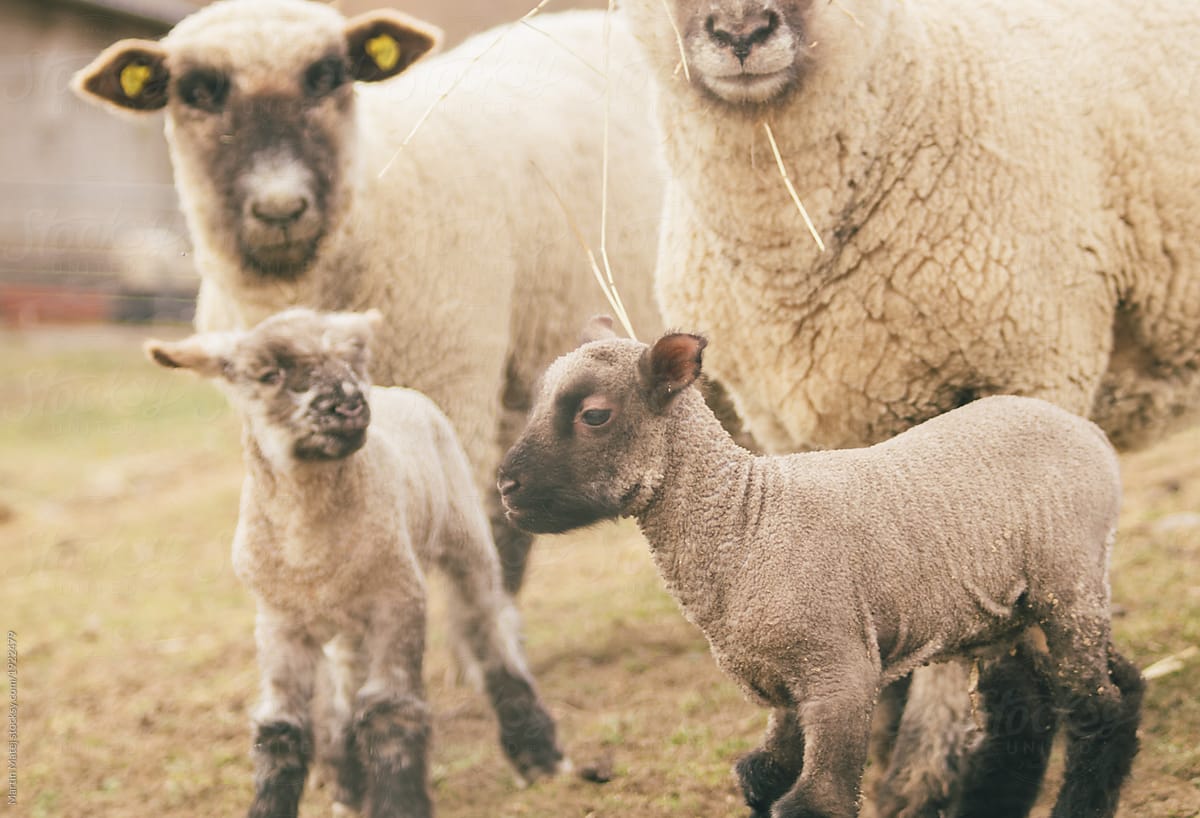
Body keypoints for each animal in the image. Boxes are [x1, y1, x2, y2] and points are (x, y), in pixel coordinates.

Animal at [145, 308, 565, 818]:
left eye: (350, 360)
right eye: (270, 374)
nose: (348, 405)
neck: (309, 545)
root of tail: (394, 390)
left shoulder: (397, 598)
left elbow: (391, 708)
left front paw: (398, 803)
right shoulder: (279, 621)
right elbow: (281, 727)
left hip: (465, 540)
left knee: (489, 633)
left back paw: (537, 752)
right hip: (346, 618)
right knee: (346, 683)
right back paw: (349, 781)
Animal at [496, 321, 1145, 818]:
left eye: (594, 415)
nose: (505, 485)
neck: (744, 522)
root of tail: (1085, 429)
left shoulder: (841, 675)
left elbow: (816, 803)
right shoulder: (784, 689)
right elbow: (760, 777)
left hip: (1069, 583)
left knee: (1097, 707)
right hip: (1009, 610)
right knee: (1040, 711)